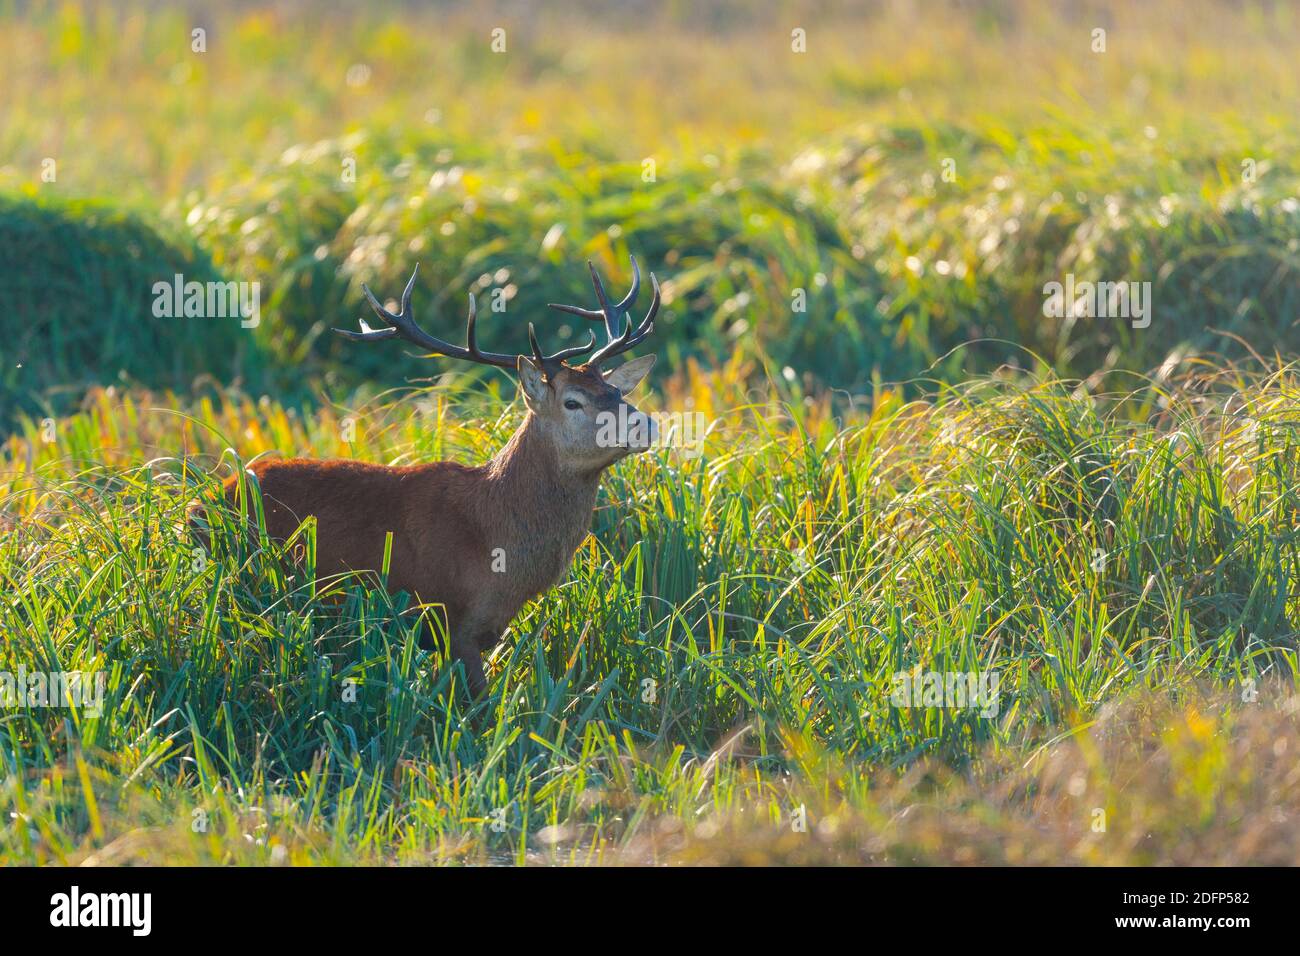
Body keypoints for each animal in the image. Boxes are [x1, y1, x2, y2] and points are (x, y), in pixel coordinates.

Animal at [199, 258, 660, 700]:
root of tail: (201, 502)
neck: (495, 543)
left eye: (616, 393)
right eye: (572, 402)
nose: (646, 424)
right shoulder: (449, 618)